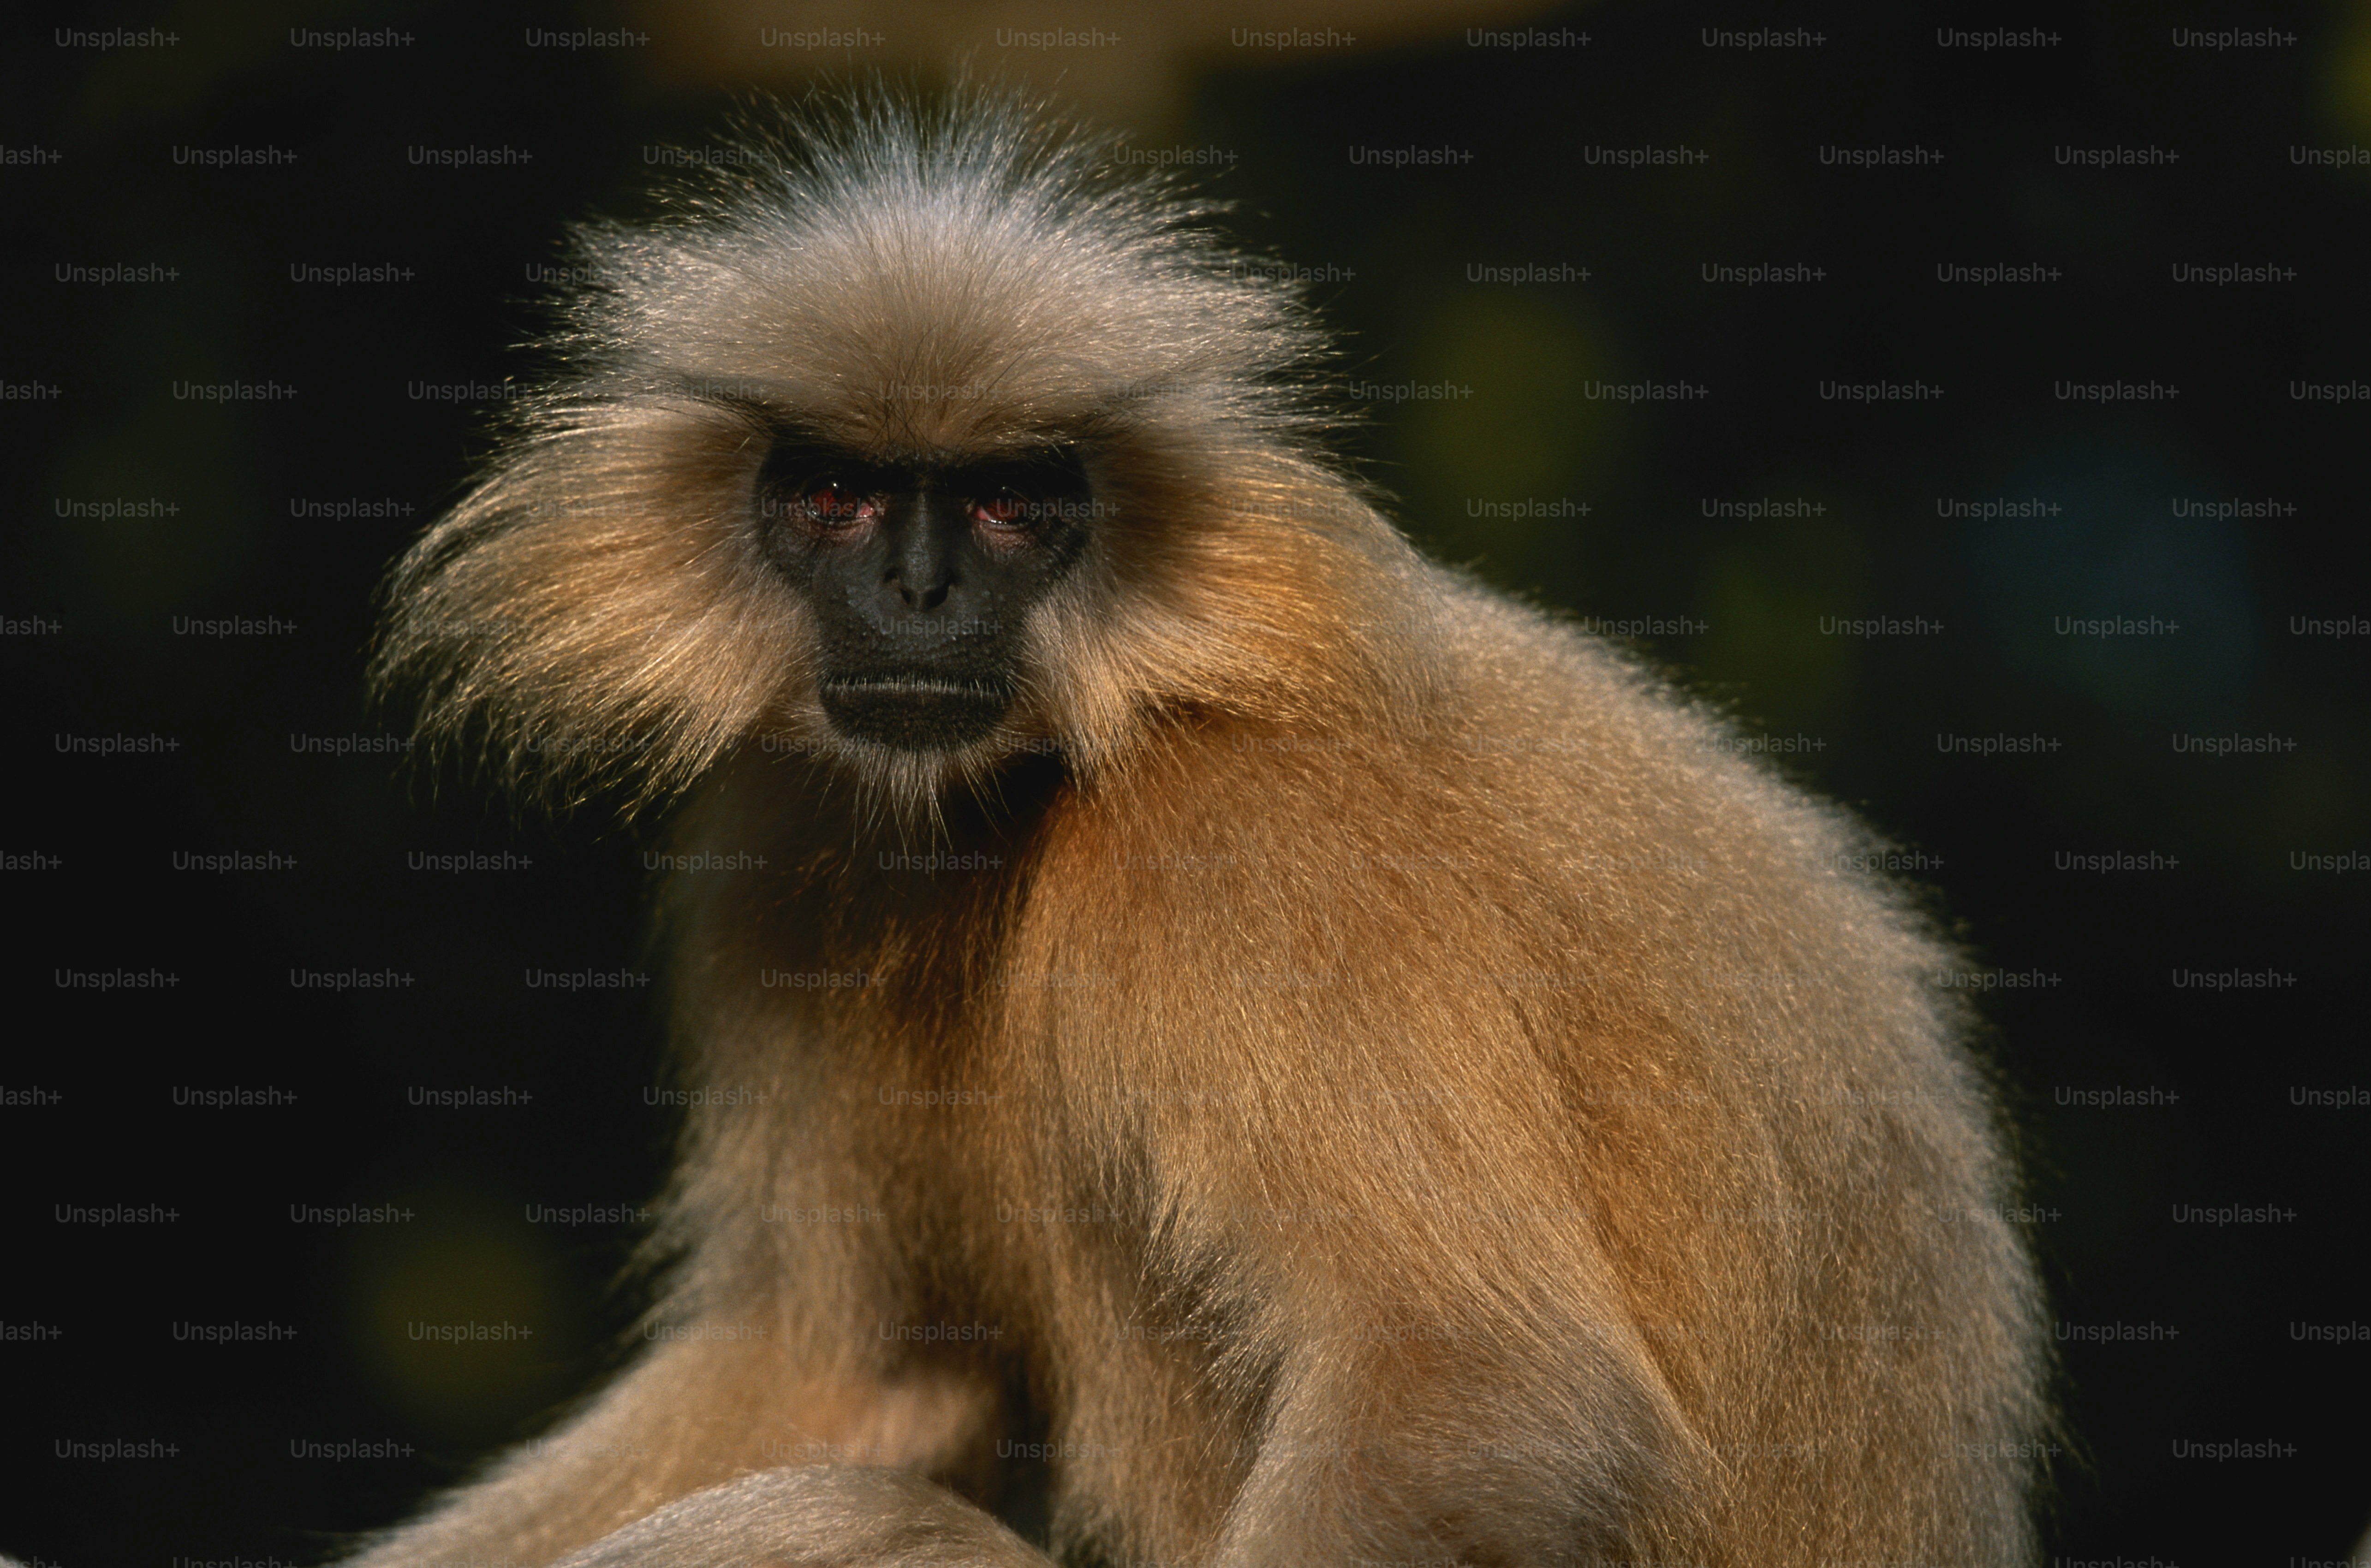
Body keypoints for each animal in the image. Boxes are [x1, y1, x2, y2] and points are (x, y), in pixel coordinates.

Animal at [354, 88, 2051, 1568]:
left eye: (1007, 507)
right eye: (838, 499)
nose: (919, 593)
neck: (1062, 762)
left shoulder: (1241, 837)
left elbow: (1475, 1394)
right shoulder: (796, 817)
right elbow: (859, 1374)